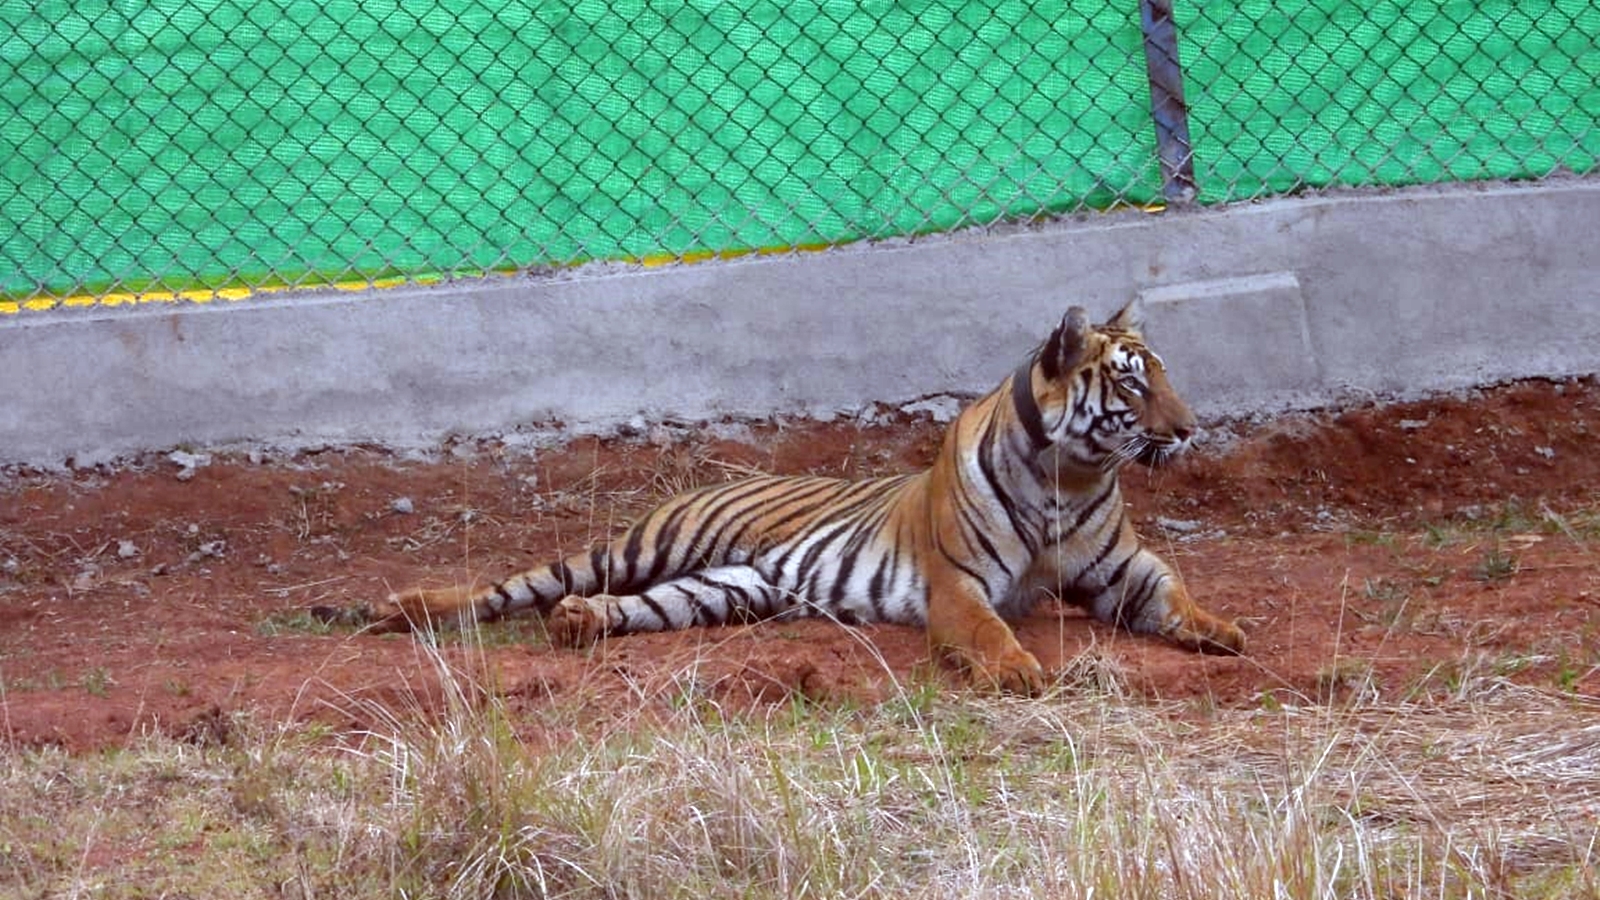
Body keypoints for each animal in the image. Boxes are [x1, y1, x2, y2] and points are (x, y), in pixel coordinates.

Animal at [374, 303, 1245, 694]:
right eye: (1132, 384)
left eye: (1161, 374)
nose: (1192, 429)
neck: (1068, 475)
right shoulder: (960, 588)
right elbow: (993, 635)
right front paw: (1022, 672)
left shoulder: (1122, 570)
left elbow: (1175, 594)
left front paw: (1221, 630)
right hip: (639, 545)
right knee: (516, 585)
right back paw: (404, 609)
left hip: (723, 589)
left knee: (631, 607)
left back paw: (580, 625)